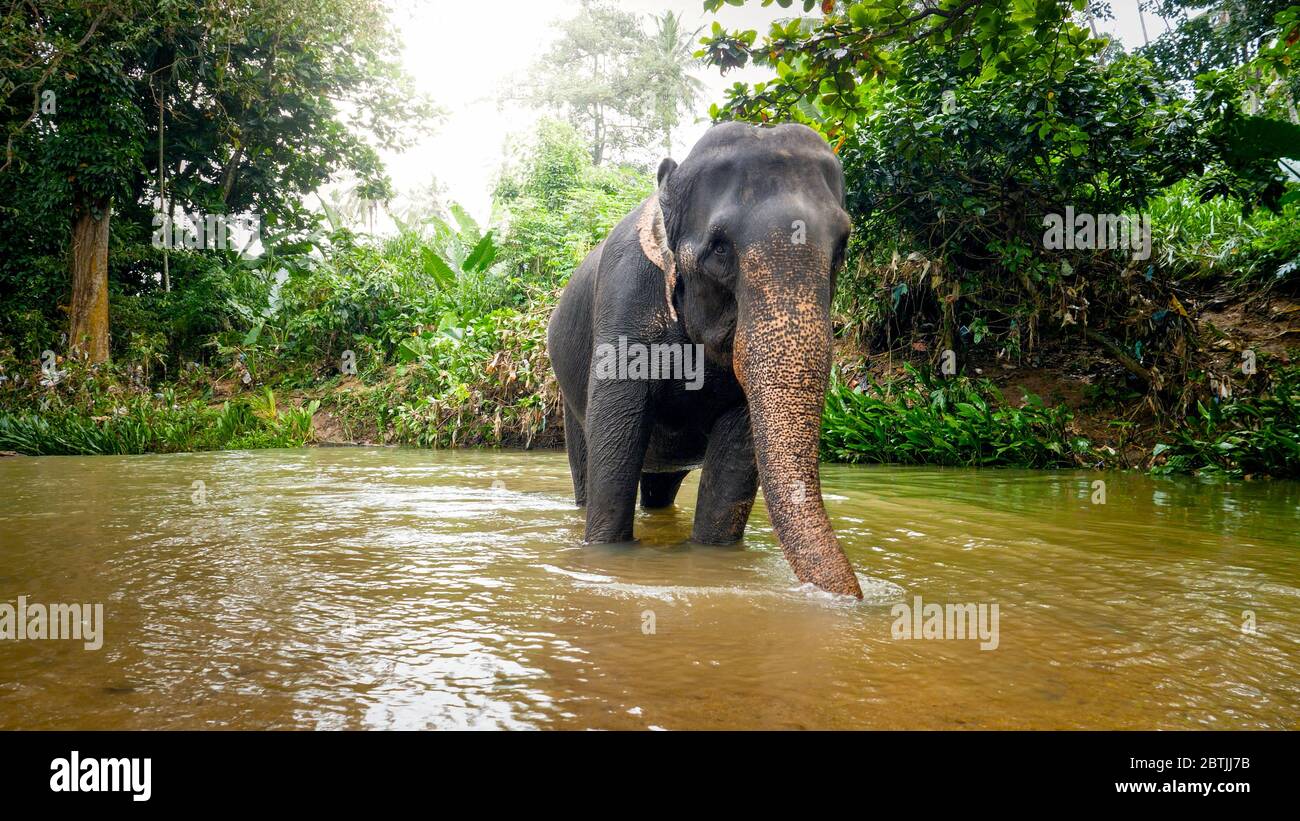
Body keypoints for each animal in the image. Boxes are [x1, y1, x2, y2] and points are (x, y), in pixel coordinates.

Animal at [546, 122, 862, 598]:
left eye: (842, 247)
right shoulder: (624, 297)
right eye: (719, 248)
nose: (857, 600)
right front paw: (606, 555)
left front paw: (712, 558)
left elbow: (737, 446)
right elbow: (617, 436)